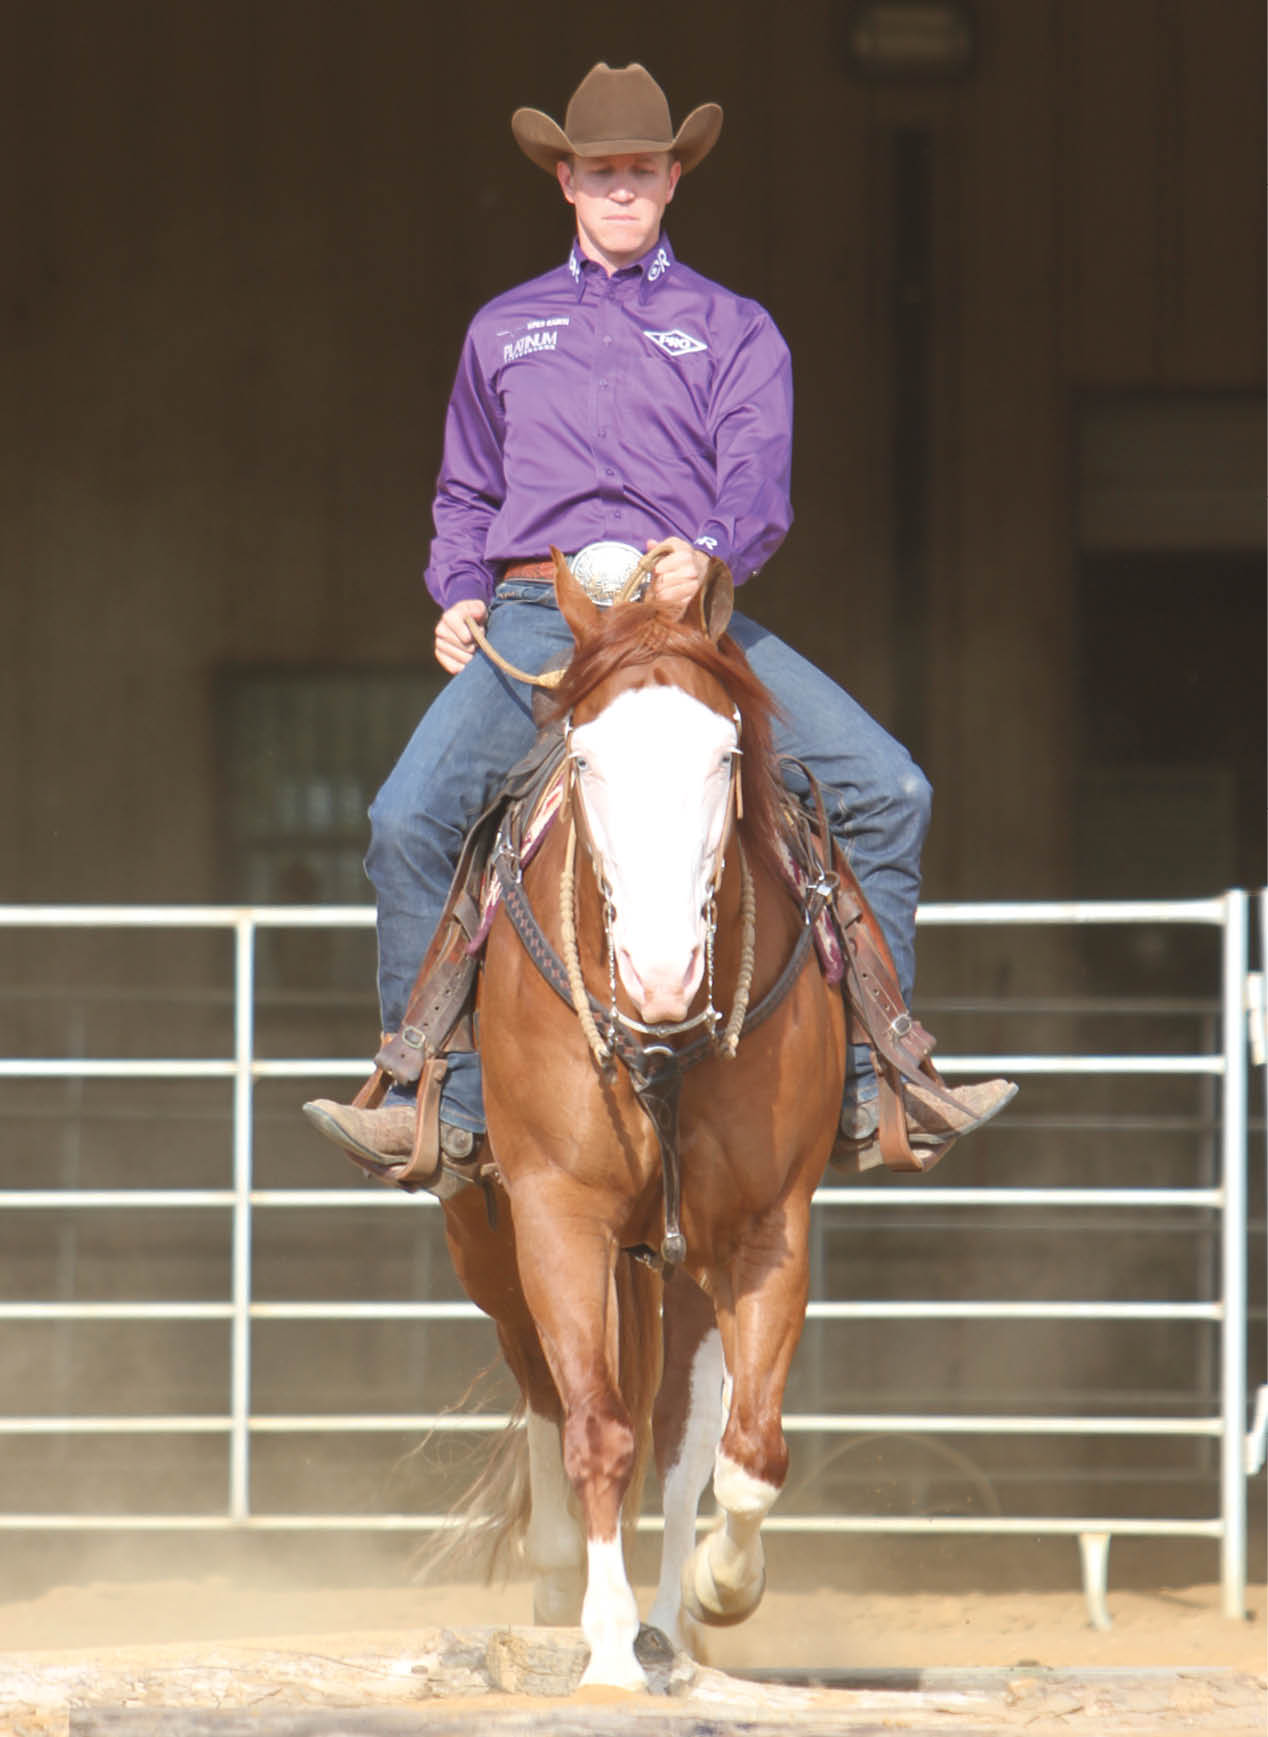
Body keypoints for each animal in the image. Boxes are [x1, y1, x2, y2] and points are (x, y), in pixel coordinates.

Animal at [436, 551, 847, 1690]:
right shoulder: (556, 1215)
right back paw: (558, 1584)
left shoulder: (763, 1228)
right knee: (544, 1384)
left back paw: (673, 1618)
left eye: (722, 753)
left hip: (675, 1263)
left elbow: (744, 1452)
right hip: (489, 1238)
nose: (661, 975)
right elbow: (594, 1429)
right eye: (586, 757)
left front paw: (715, 1588)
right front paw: (610, 1650)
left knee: (680, 1434)